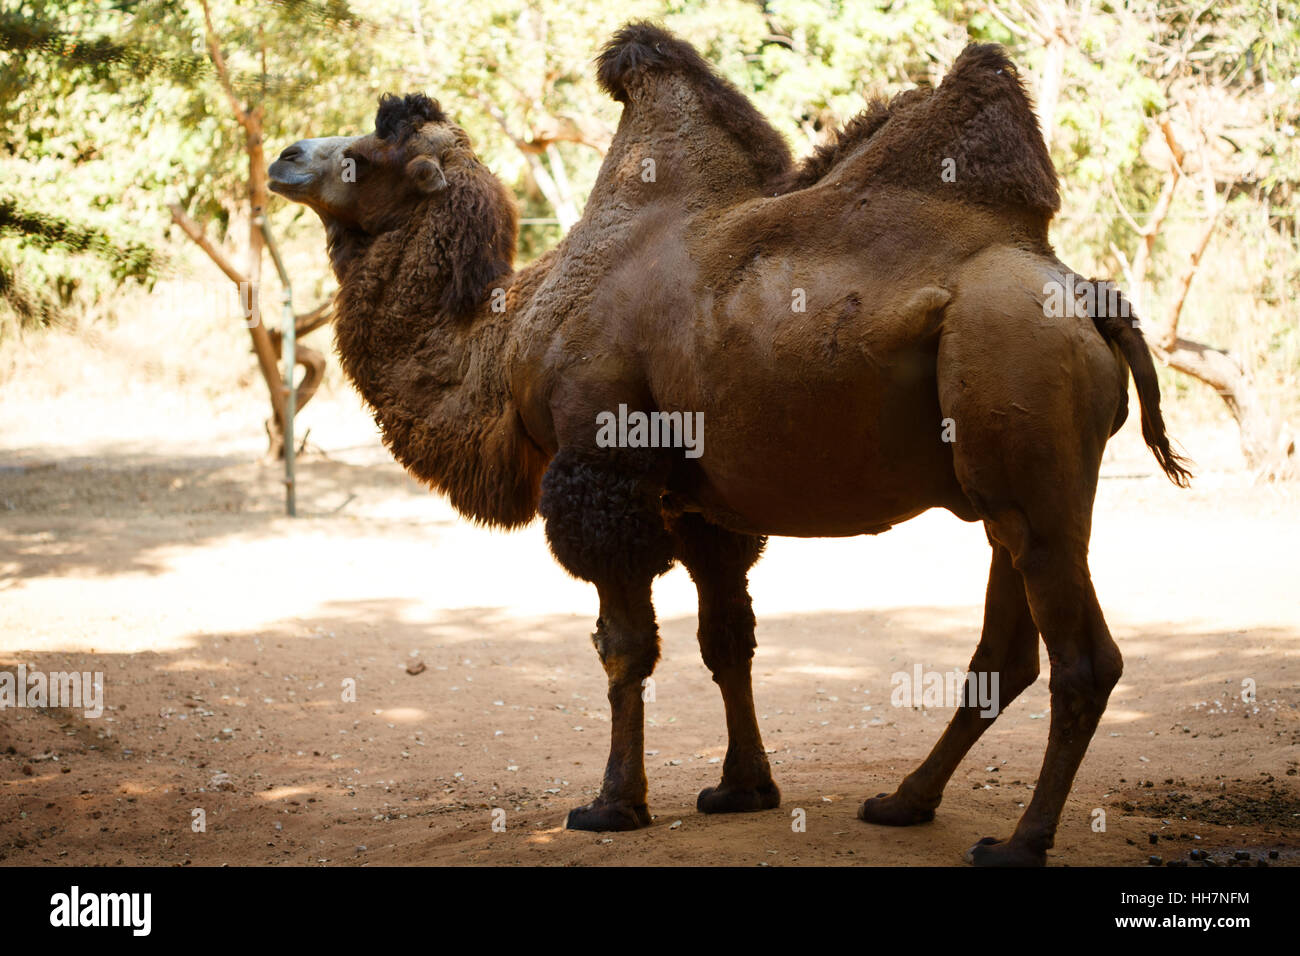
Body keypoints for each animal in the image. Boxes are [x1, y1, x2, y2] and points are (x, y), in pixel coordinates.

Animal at [268, 22, 1189, 866]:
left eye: (362, 154)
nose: (283, 157)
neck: (505, 337)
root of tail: (1090, 300)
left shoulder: (600, 470)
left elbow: (625, 649)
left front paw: (612, 804)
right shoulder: (696, 503)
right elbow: (727, 640)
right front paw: (744, 787)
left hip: (1024, 414)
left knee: (1084, 659)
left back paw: (1020, 841)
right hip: (1007, 485)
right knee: (1006, 648)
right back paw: (904, 802)